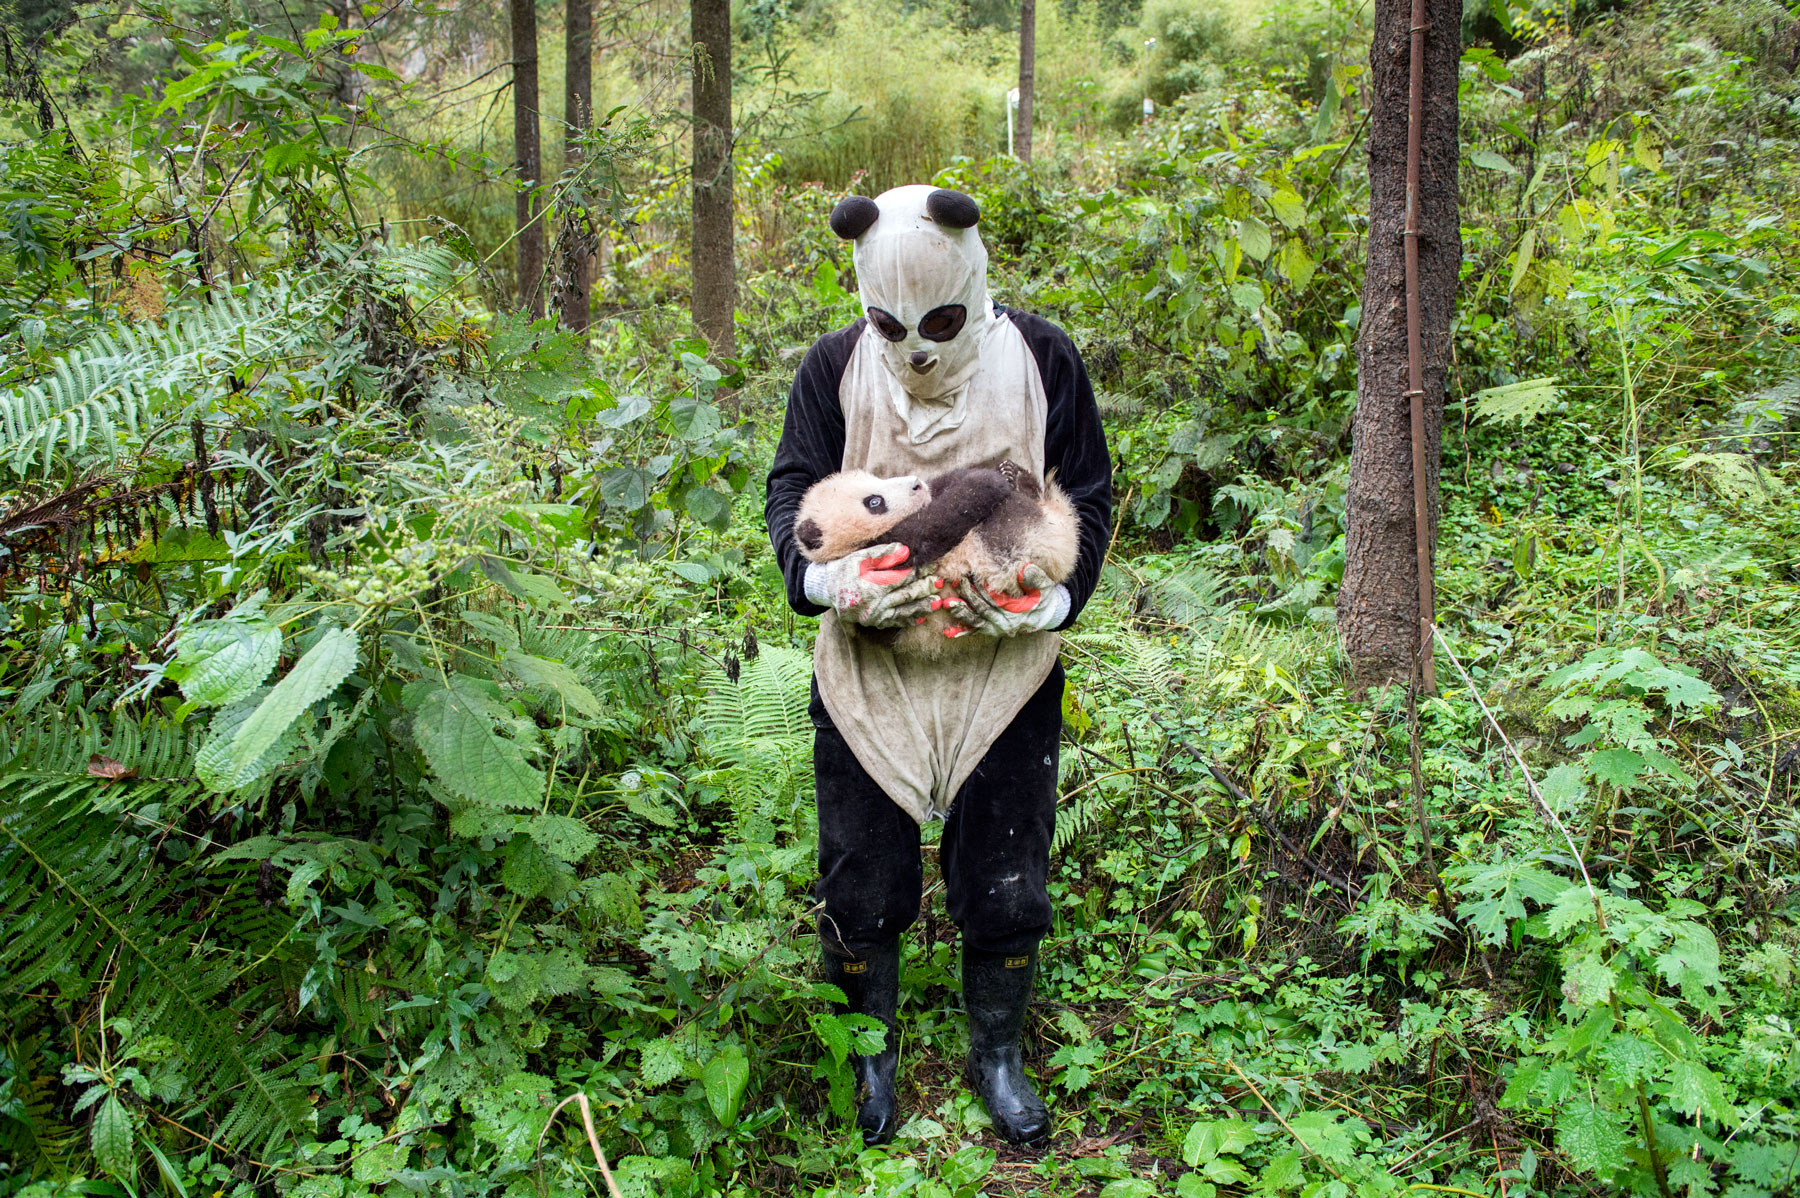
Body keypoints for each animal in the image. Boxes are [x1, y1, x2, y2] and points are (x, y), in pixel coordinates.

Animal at [793, 461, 1080, 657]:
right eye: (874, 502)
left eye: (877, 479)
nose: (916, 484)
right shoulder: (892, 548)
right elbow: (939, 523)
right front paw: (987, 480)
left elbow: (940, 488)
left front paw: (988, 473)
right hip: (1011, 541)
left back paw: (1016, 475)